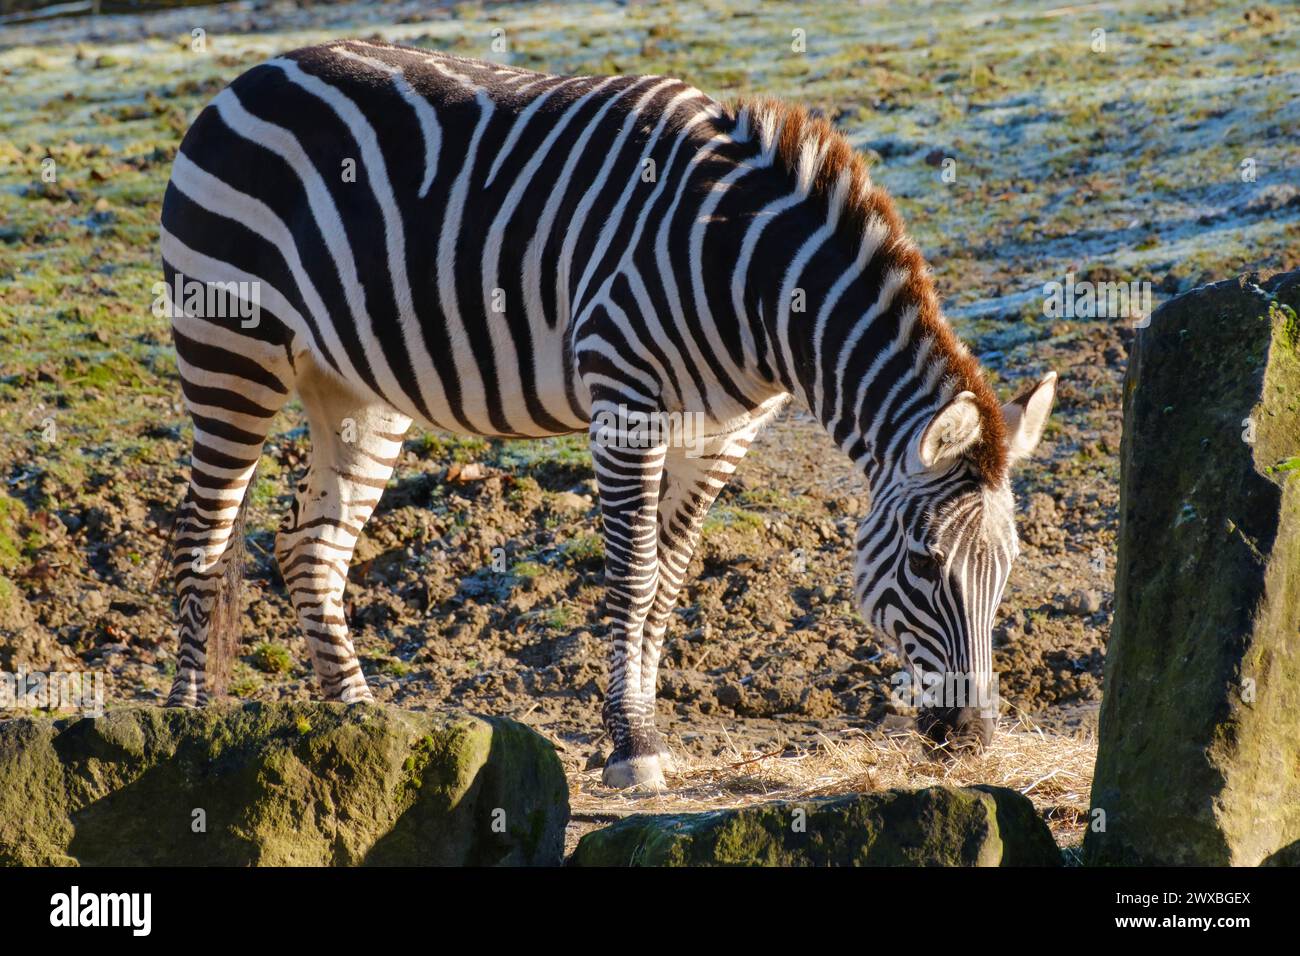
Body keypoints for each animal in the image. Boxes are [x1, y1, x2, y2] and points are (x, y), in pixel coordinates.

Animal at [159, 40, 1057, 789]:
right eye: (925, 566)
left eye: (1008, 570)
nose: (973, 739)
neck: (753, 281)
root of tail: (251, 75)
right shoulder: (624, 394)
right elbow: (632, 576)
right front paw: (634, 747)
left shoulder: (723, 435)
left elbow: (670, 582)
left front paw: (641, 730)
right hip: (229, 349)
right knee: (200, 535)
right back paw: (187, 728)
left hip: (355, 389)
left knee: (311, 548)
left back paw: (362, 721)